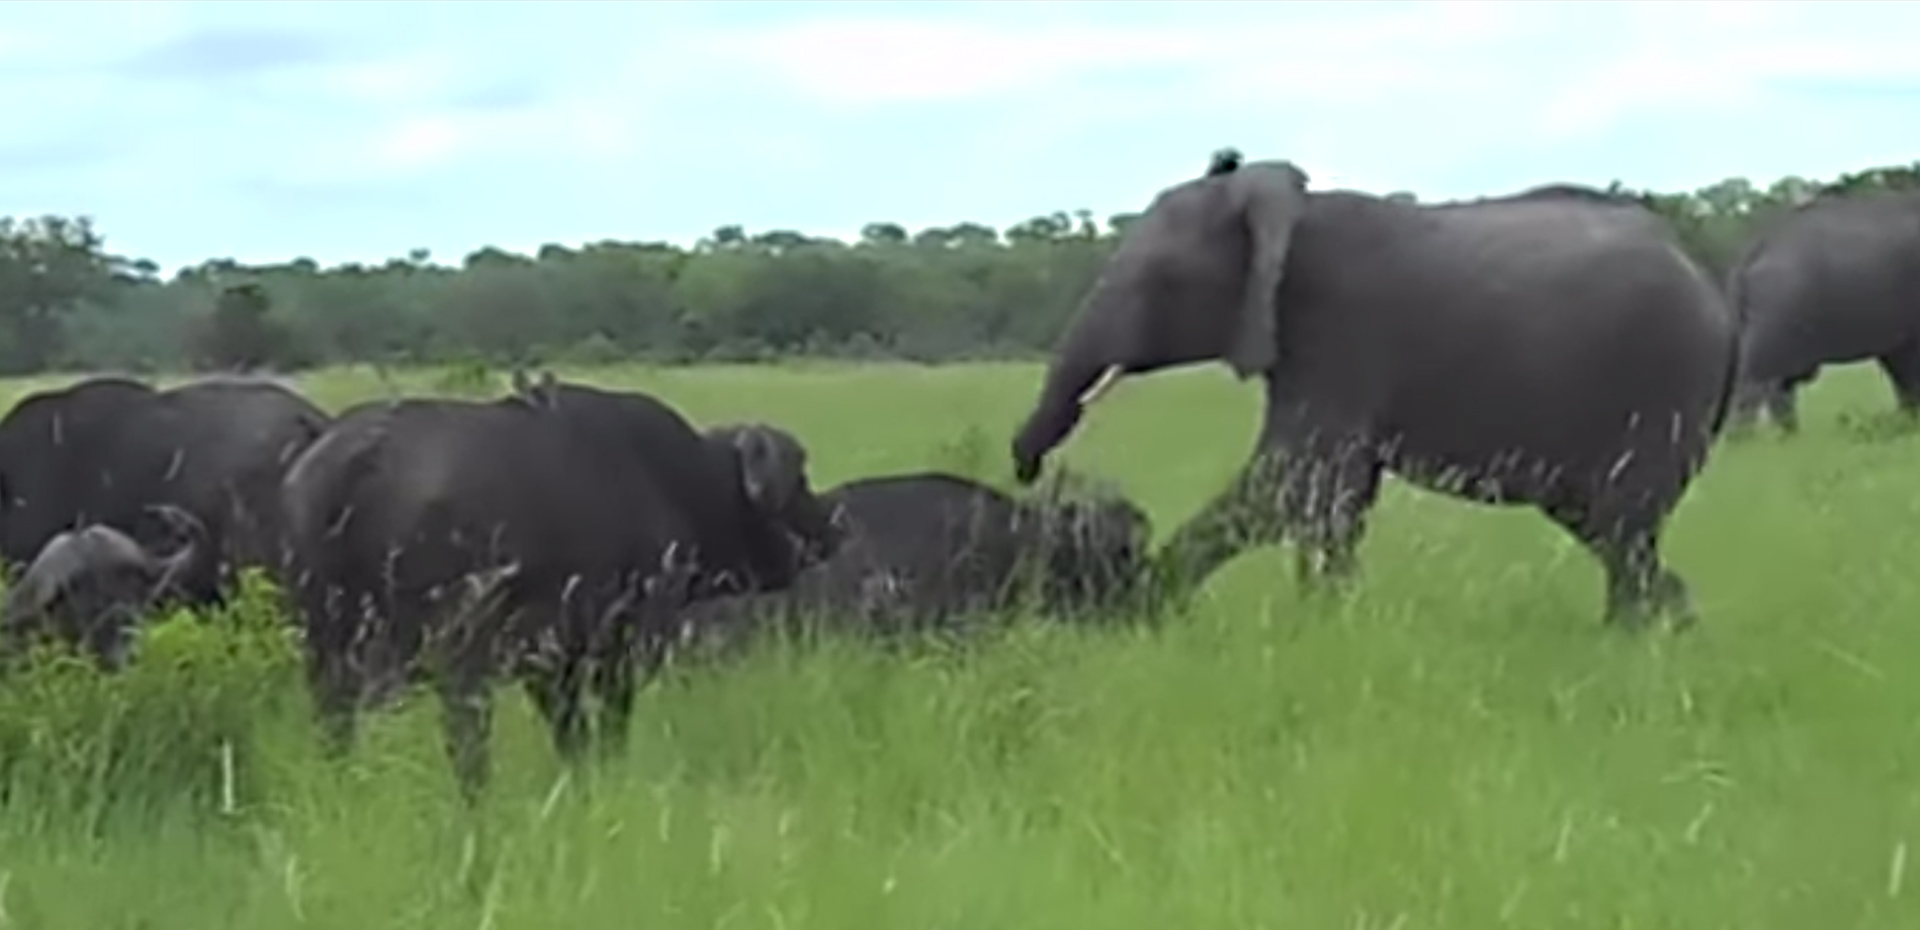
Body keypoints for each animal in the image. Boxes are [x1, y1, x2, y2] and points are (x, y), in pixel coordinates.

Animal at [279, 379, 844, 798]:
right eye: (800, 478)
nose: (830, 529)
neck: (675, 482)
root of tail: (360, 459)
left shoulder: (552, 667)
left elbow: (569, 734)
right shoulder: (614, 651)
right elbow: (606, 729)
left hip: (326, 656)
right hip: (459, 664)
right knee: (465, 744)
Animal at [1010, 149, 1738, 628]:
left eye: (1159, 280)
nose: (1024, 465)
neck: (1284, 207)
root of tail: (1715, 293)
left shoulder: (1335, 335)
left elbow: (1290, 482)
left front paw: (1146, 609)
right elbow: (1334, 498)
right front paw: (1328, 622)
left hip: (1661, 384)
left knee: (1623, 527)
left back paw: (1633, 641)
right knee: (1611, 531)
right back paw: (1672, 624)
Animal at [1723, 188, 1920, 434]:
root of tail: (1752, 253)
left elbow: (1902, 367)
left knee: (1779, 386)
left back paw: (1790, 438)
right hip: (1778, 306)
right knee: (1757, 383)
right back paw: (1745, 441)